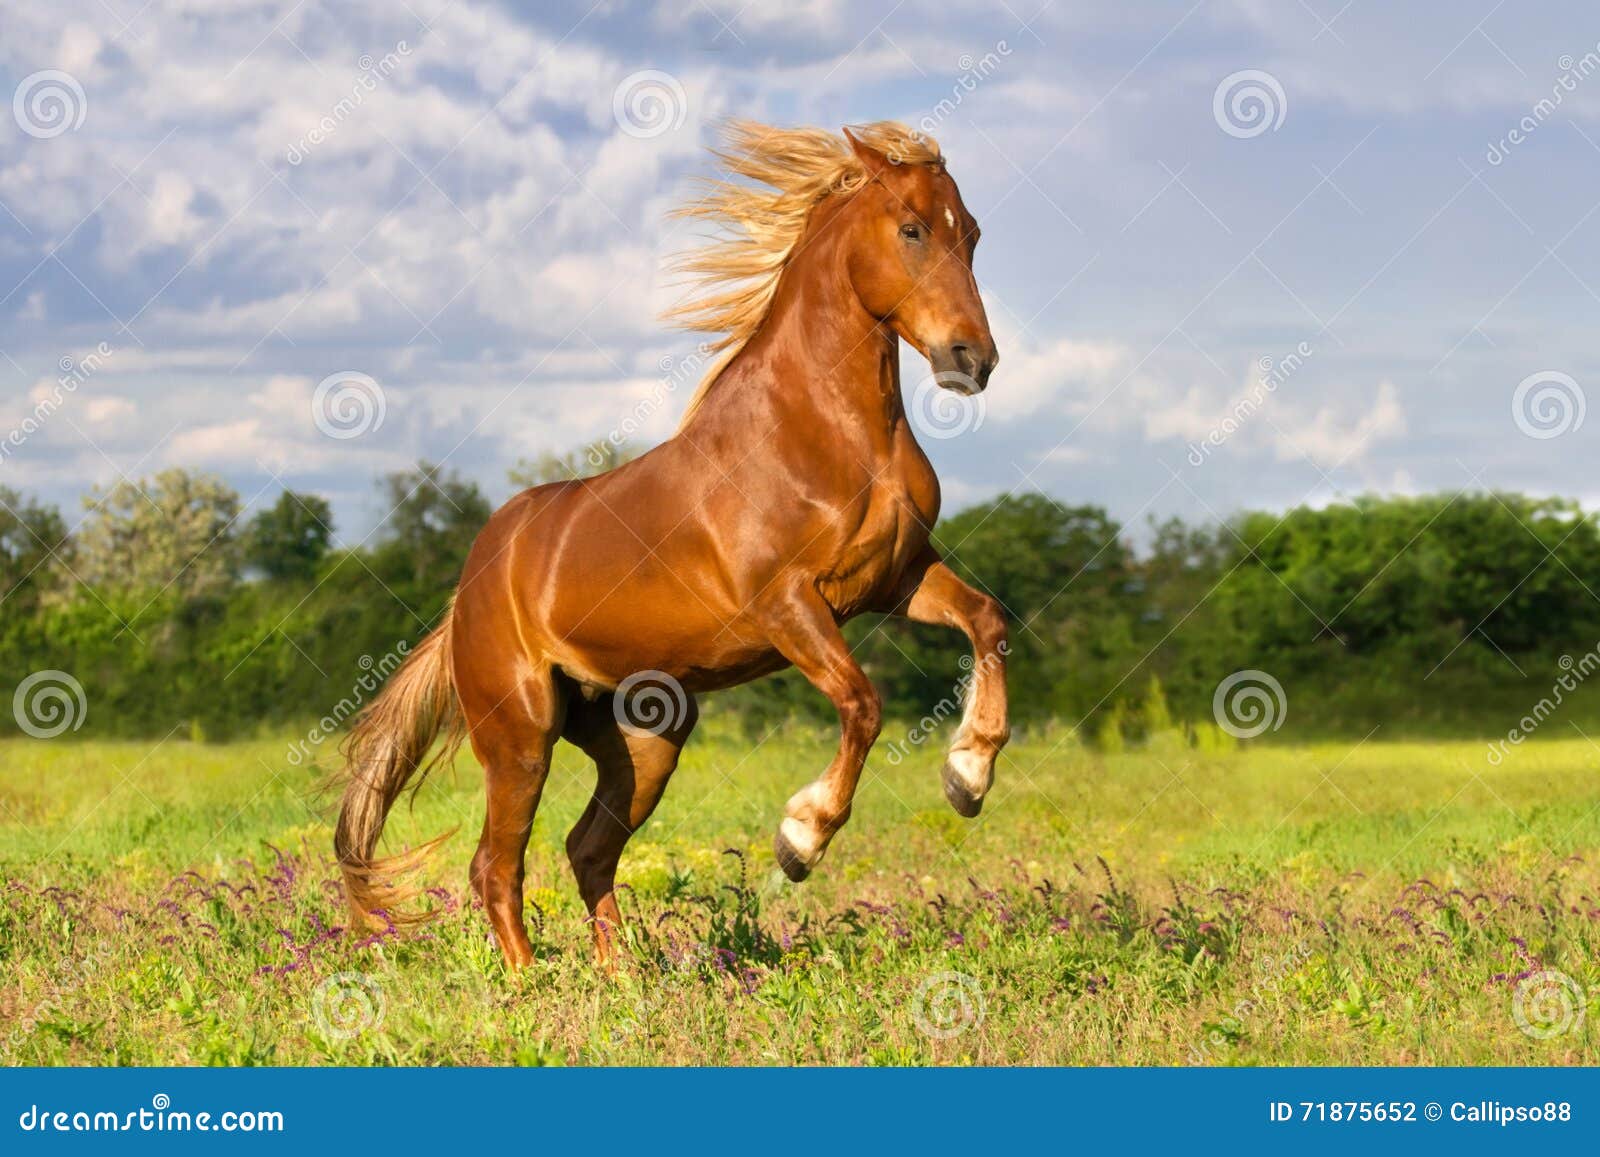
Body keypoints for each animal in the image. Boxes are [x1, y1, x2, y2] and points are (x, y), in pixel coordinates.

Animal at [334, 120, 1009, 969]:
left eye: (974, 234)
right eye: (912, 229)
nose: (972, 360)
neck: (830, 434)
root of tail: (468, 591)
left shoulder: (898, 579)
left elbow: (987, 620)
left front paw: (969, 774)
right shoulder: (789, 604)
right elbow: (863, 702)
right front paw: (801, 838)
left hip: (646, 736)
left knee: (587, 848)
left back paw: (621, 977)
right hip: (520, 735)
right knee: (497, 862)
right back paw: (530, 983)